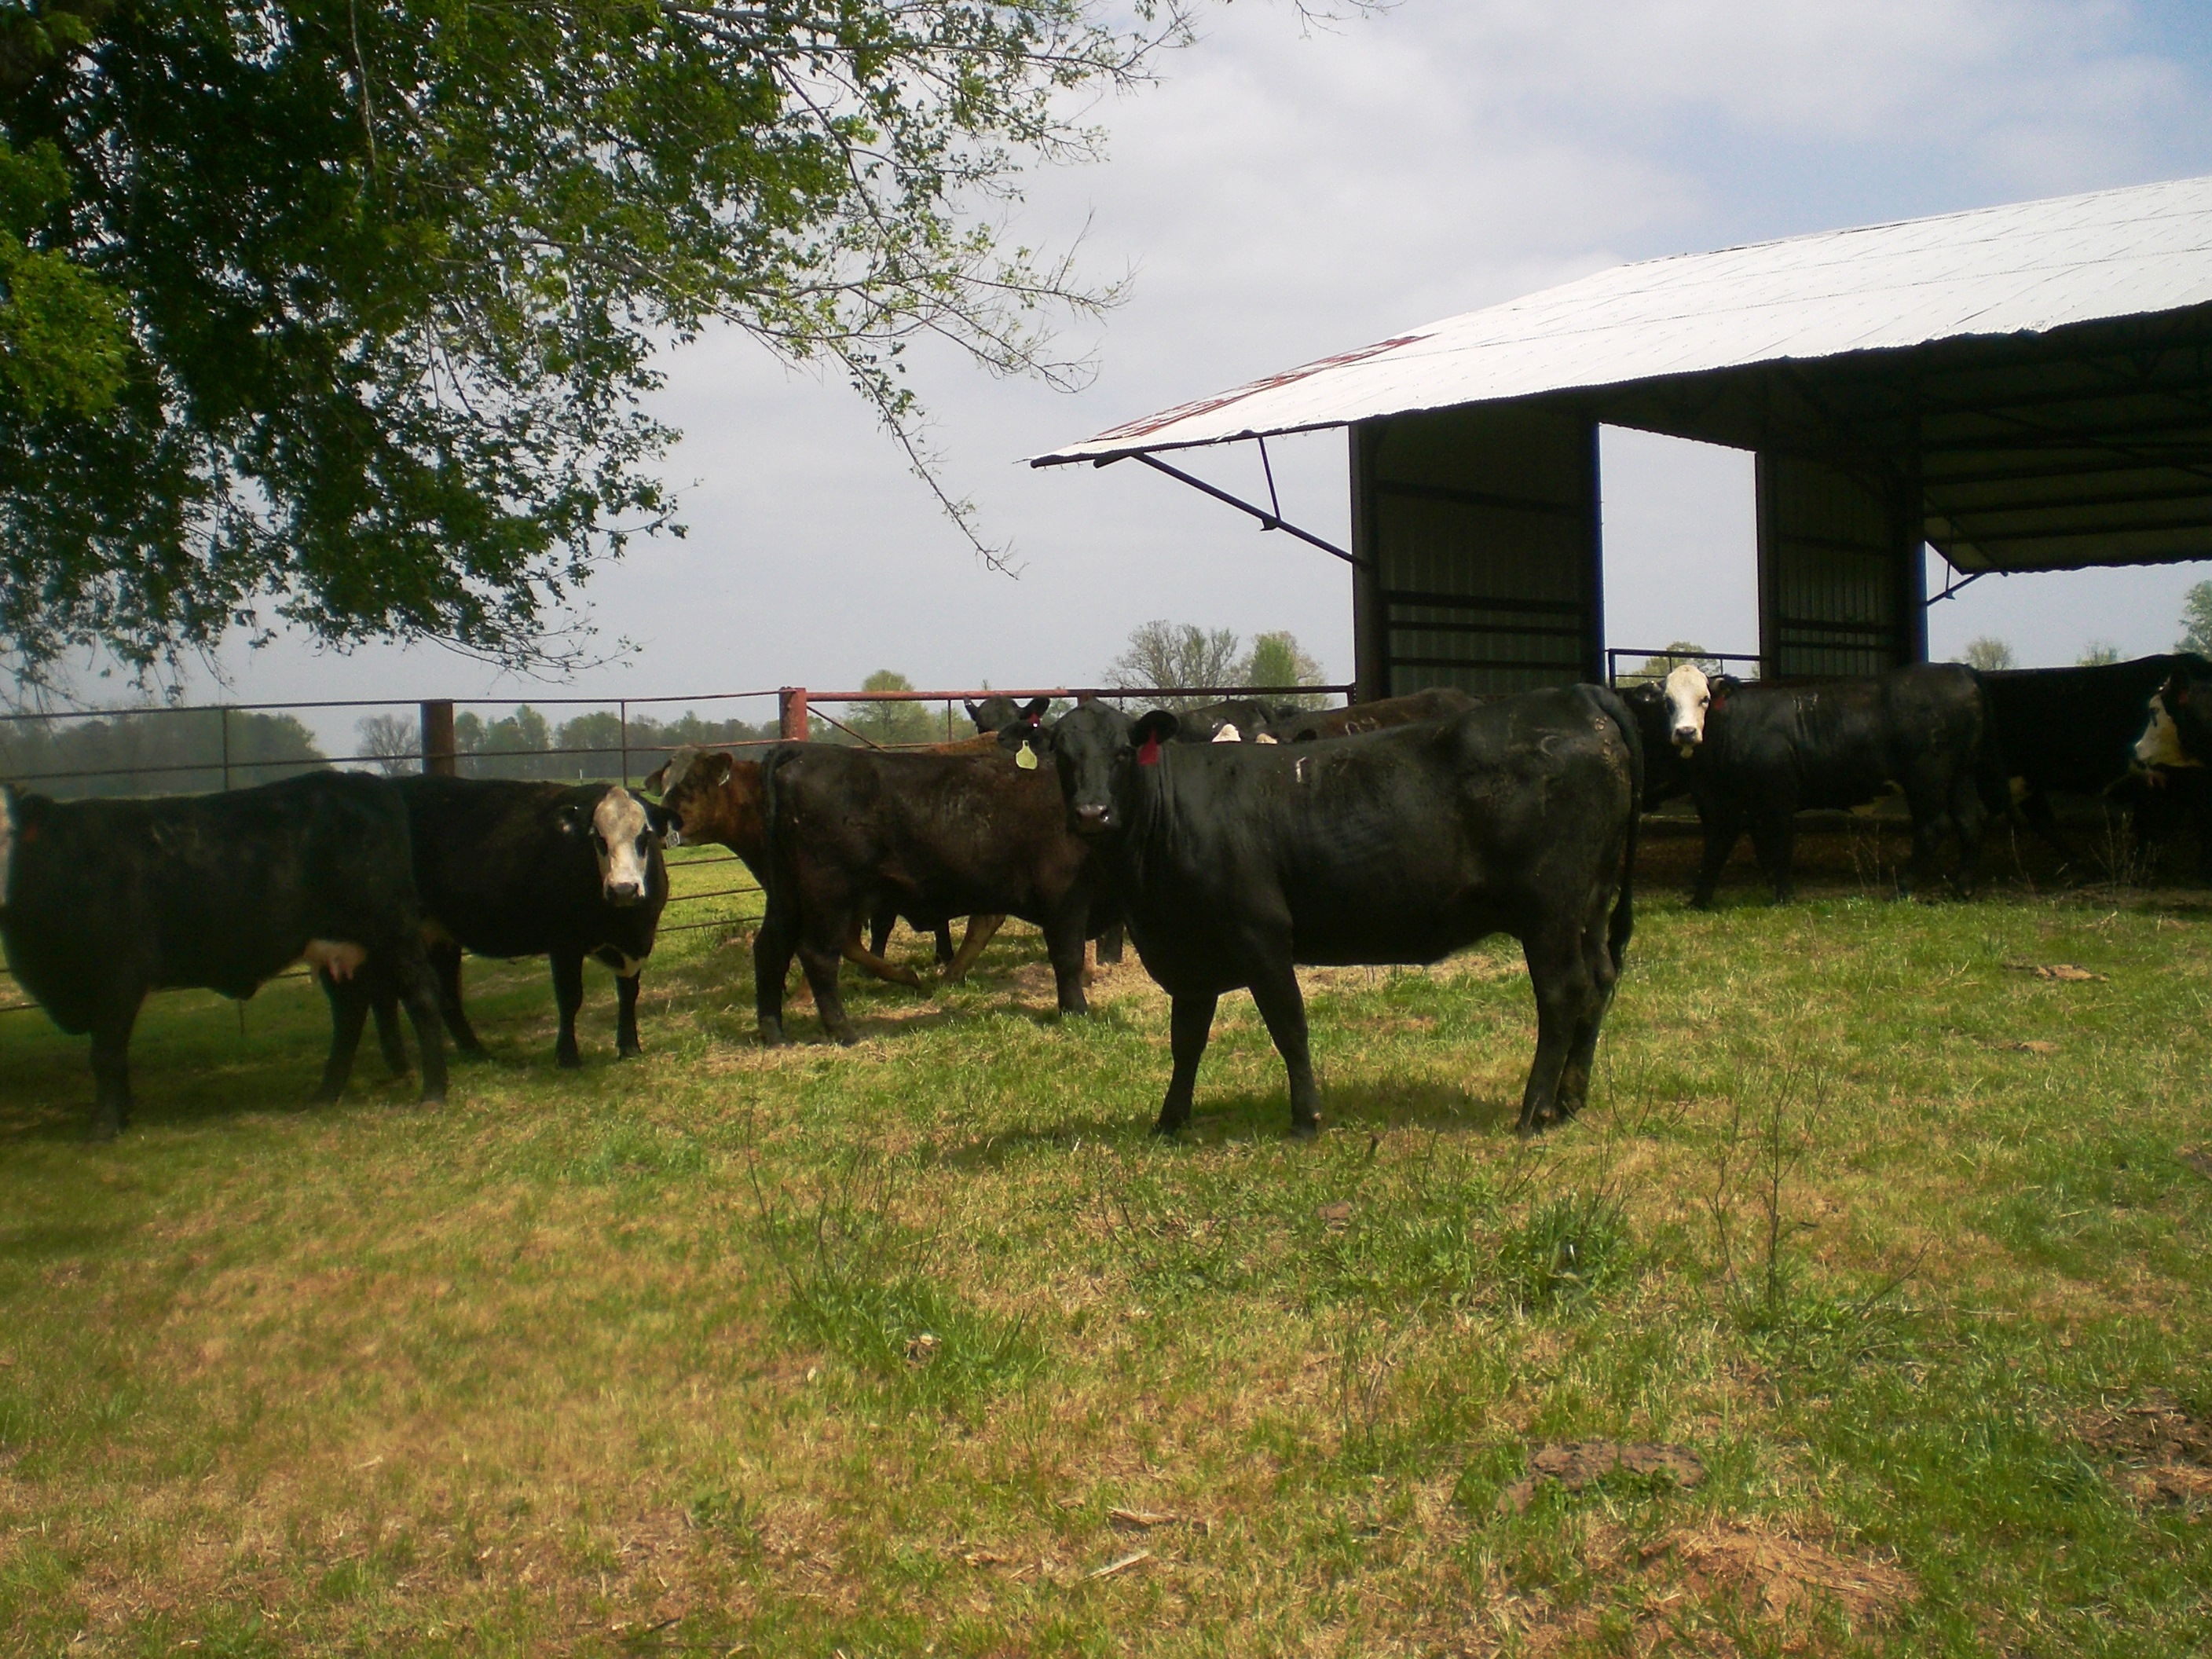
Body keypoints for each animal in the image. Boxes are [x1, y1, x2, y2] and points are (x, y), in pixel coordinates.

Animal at [0, 771, 447, 1138]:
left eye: (7, 836)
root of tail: (366, 783)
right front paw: (121, 1114)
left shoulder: (120, 976)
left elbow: (106, 1054)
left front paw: (105, 1125)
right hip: (333, 945)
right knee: (350, 1013)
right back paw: (325, 1095)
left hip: (392, 931)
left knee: (423, 997)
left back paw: (434, 1093)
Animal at [356, 777, 669, 1068]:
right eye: (597, 837)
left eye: (644, 835)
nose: (623, 889)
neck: (622, 923)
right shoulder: (563, 943)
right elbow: (570, 997)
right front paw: (567, 1056)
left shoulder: (638, 942)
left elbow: (628, 993)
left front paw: (629, 1046)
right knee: (382, 995)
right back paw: (399, 1062)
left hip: (438, 934)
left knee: (444, 993)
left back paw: (472, 1049)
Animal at [751, 741, 1111, 1045]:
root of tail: (807, 751)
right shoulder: (1064, 901)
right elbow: (1068, 958)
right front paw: (1077, 1010)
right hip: (829, 896)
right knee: (818, 955)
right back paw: (844, 1031)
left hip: (786, 896)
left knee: (770, 948)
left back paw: (774, 1032)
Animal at [1623, 662, 1999, 906]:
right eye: (1668, 702)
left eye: (1704, 699)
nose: (1686, 732)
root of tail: (1960, 670)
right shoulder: (1721, 803)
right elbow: (1721, 847)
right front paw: (1700, 900)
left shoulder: (1777, 798)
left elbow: (1780, 845)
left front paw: (1784, 895)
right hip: (1961, 773)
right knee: (1970, 821)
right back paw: (1963, 889)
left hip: (1928, 775)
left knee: (1933, 826)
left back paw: (1903, 889)